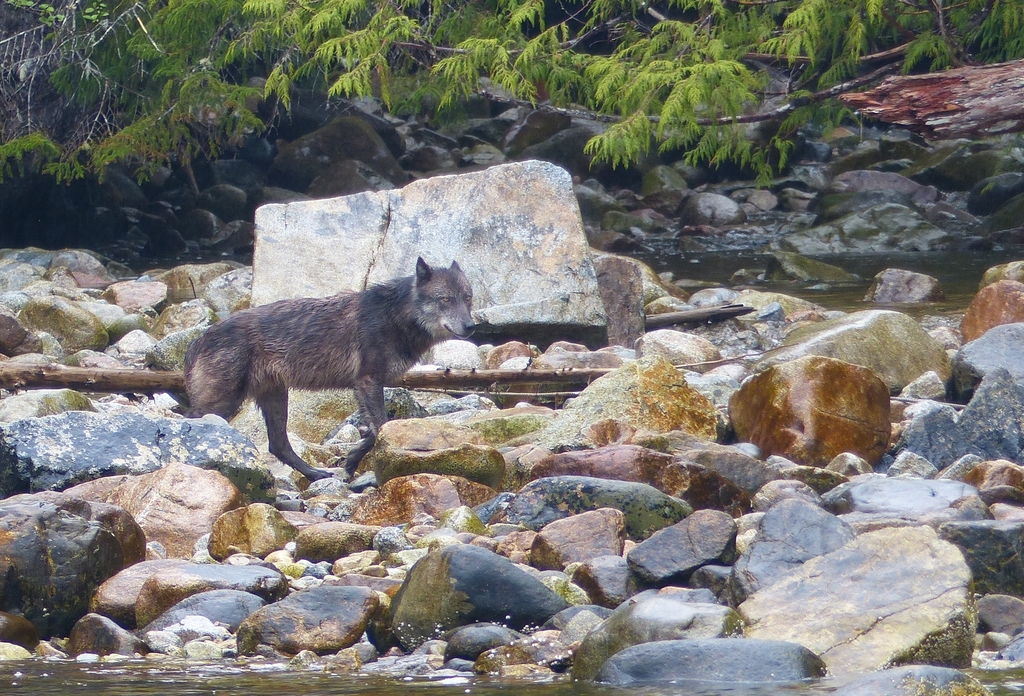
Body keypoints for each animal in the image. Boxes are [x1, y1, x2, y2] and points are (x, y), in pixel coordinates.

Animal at [184, 258, 475, 480]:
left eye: (467, 298)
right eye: (445, 299)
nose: (471, 327)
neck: (395, 315)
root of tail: (197, 340)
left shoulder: (364, 385)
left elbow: (375, 431)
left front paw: (351, 461)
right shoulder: (368, 381)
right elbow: (382, 427)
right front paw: (355, 461)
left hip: (275, 397)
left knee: (278, 444)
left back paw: (315, 474)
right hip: (222, 404)